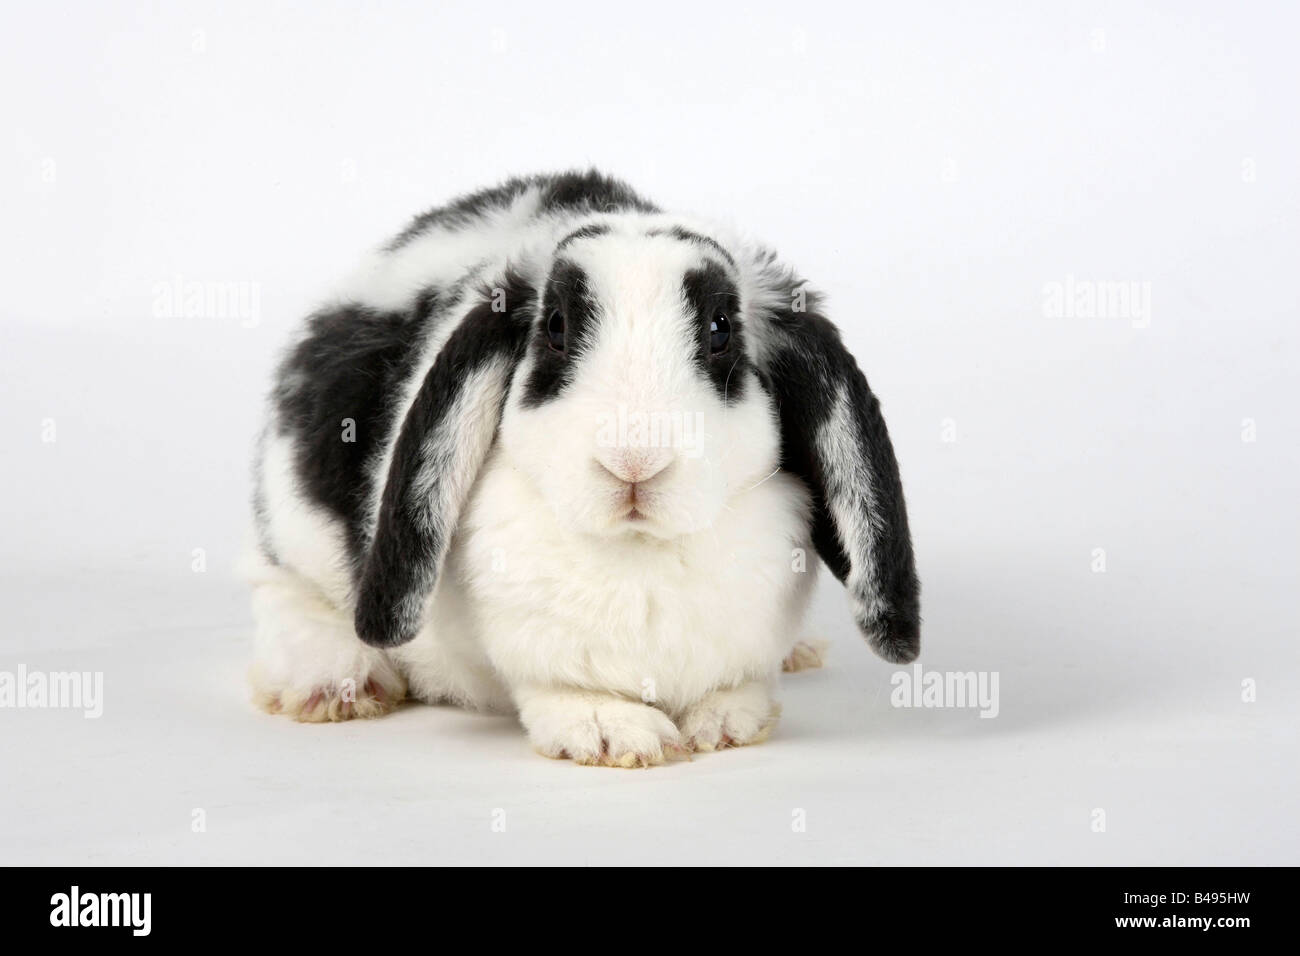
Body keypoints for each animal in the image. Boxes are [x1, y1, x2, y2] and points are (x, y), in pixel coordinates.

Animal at [247, 170, 920, 766]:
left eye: (721, 330)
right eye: (556, 328)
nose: (634, 459)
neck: (640, 551)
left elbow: (735, 687)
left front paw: (725, 723)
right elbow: (560, 689)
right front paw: (614, 735)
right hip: (295, 524)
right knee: (279, 588)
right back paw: (335, 684)